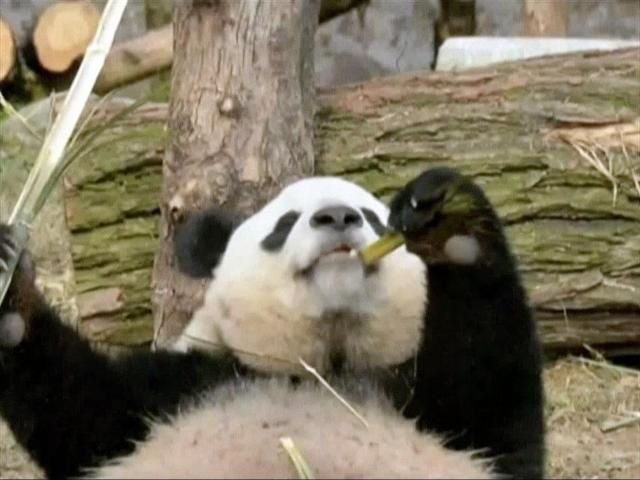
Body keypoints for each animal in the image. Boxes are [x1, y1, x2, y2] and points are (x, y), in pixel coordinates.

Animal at [0, 167, 544, 479]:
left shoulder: (424, 401)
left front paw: (453, 223)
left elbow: (489, 391)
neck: (324, 365)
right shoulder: (179, 389)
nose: (338, 217)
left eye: (372, 217)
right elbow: (79, 410)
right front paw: (10, 290)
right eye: (284, 224)